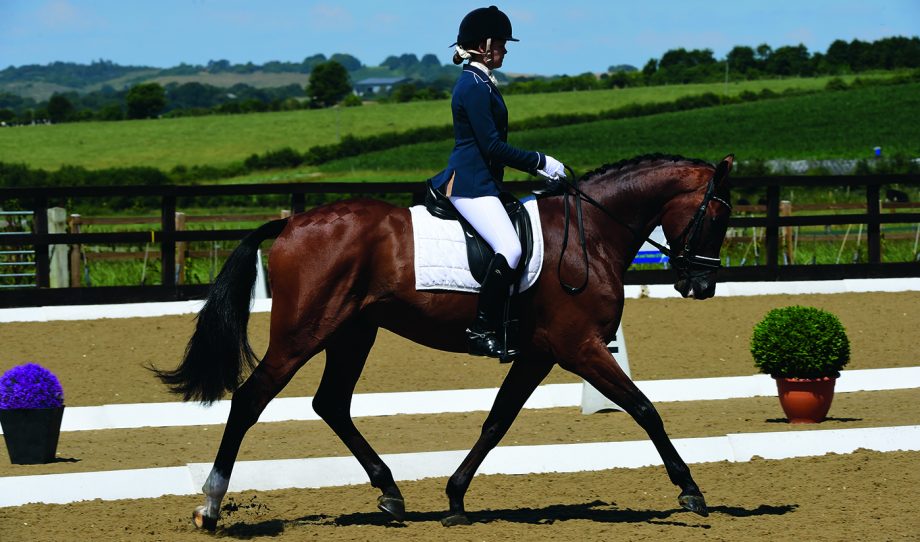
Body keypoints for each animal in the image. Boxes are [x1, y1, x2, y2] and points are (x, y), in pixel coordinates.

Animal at [154, 153, 734, 530]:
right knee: (251, 399)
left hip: (353, 332)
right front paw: (691, 491)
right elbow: (644, 408)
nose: (701, 286)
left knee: (331, 404)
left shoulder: (540, 353)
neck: (590, 232)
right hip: (304, 332)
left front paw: (455, 498)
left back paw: (391, 495)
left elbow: (498, 421)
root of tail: (293, 222)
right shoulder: (580, 347)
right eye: (718, 214)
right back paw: (210, 507)